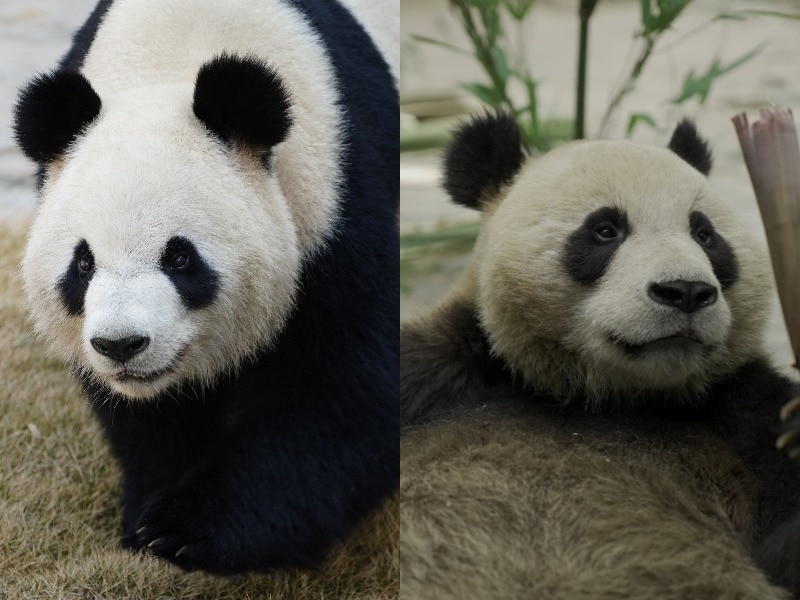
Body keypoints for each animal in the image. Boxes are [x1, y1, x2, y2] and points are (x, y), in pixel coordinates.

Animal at [13, 0, 398, 574]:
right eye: (83, 263)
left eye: (179, 257)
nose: (121, 345)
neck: (175, 57)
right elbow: (149, 422)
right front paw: (149, 515)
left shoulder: (341, 195)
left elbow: (342, 388)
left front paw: (189, 530)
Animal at [400, 113, 800, 599]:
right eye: (606, 230)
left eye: (705, 235)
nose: (686, 291)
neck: (607, 396)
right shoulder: (445, 371)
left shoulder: (740, 410)